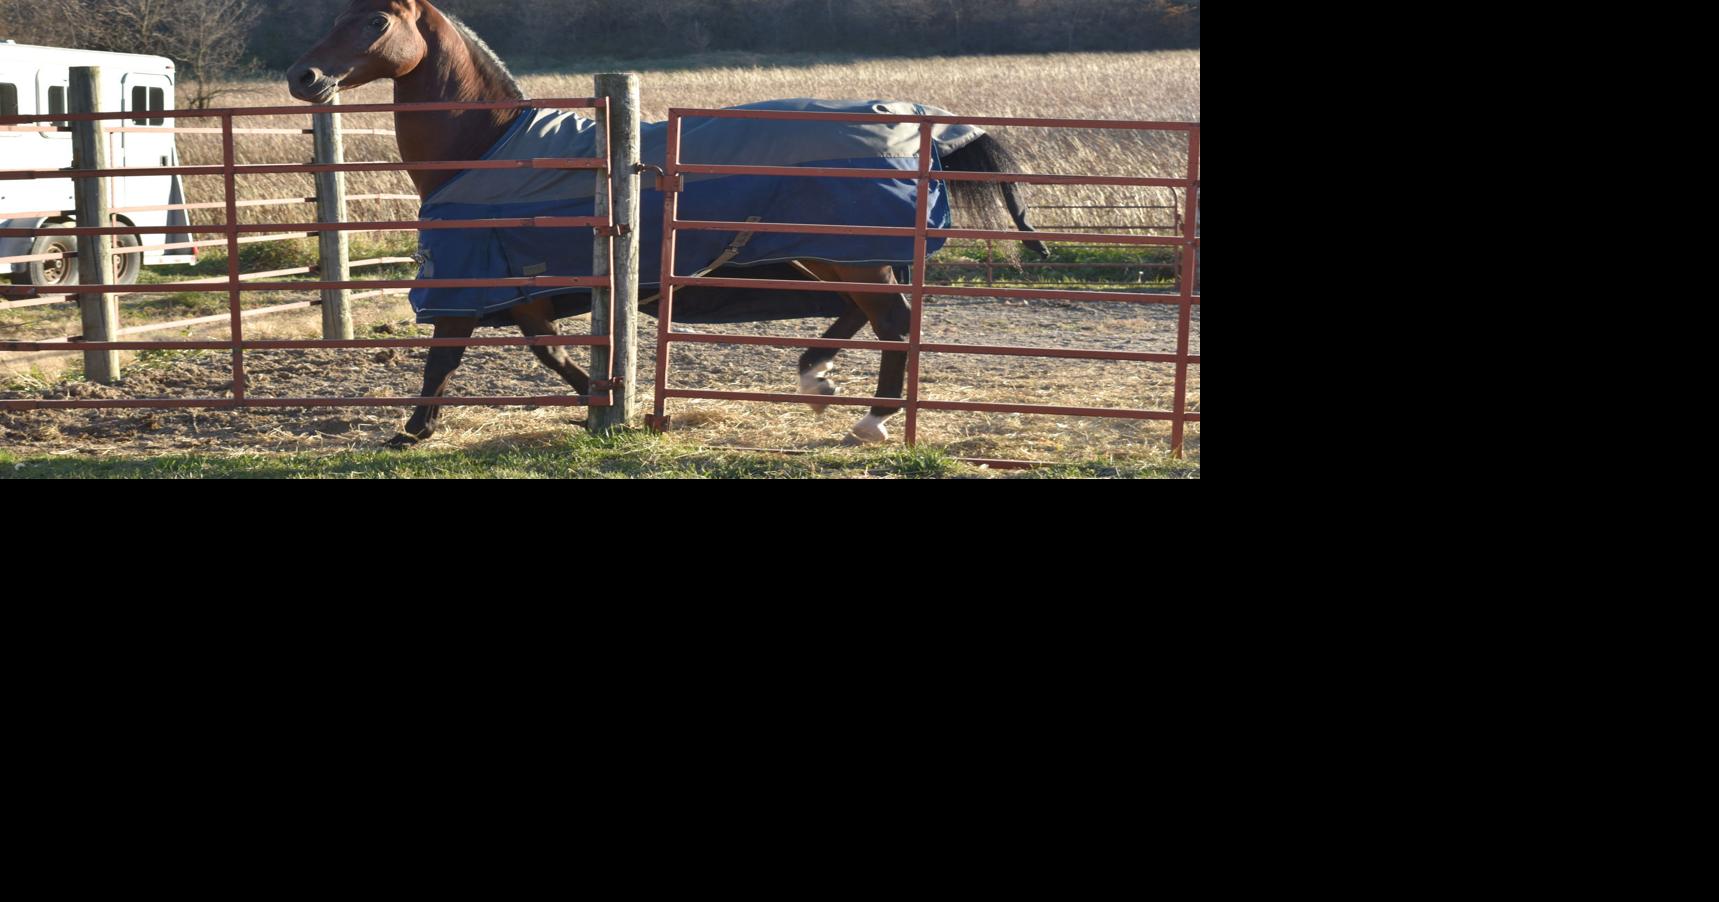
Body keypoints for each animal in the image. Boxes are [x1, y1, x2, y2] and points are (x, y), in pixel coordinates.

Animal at [287, 0, 1046, 447]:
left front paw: (409, 432)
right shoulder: (525, 291)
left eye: (375, 22)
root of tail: (913, 121)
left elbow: (444, 355)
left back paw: (871, 419)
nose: (304, 77)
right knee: (863, 313)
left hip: (843, 254)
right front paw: (602, 407)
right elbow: (551, 354)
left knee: (892, 321)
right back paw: (817, 378)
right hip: (824, 255)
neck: (490, 145)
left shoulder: (470, 285)